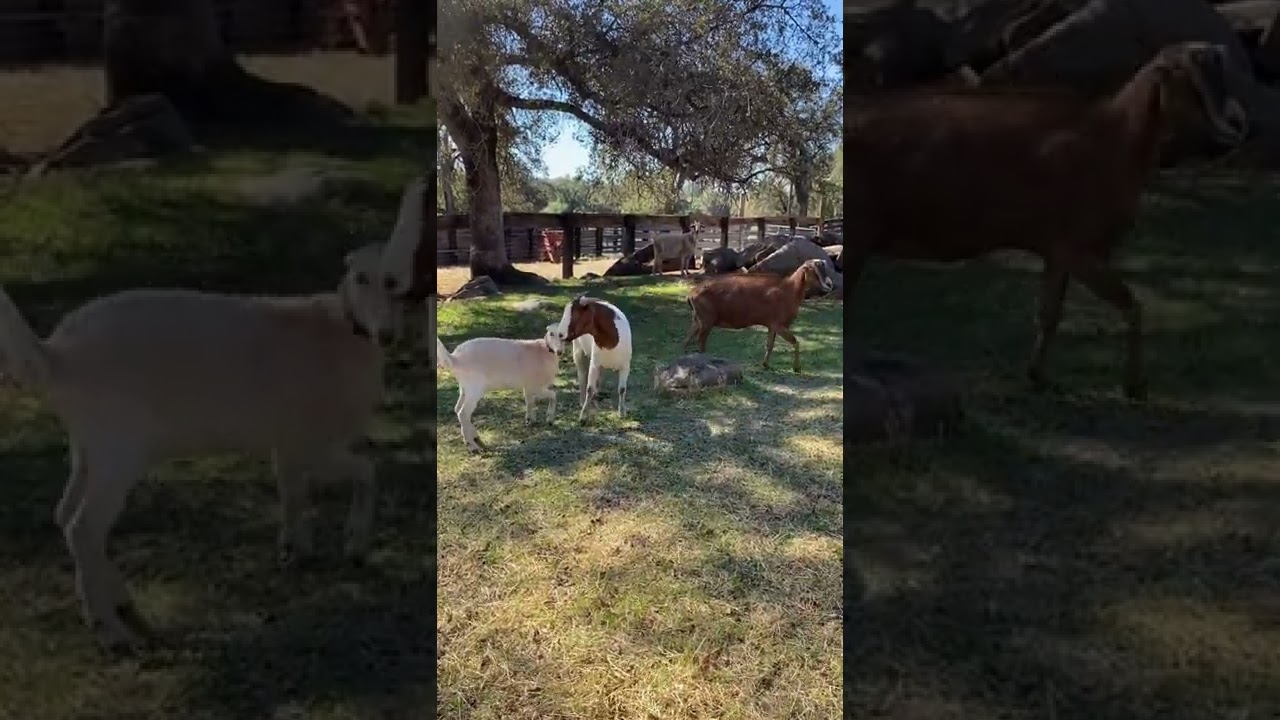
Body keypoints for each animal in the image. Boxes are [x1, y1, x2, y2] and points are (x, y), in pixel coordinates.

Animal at [0, 242, 404, 652]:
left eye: (396, 281)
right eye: (361, 277)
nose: (387, 333)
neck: (339, 334)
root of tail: (55, 355)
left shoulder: (286, 443)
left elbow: (293, 495)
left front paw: (294, 549)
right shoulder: (310, 440)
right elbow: (365, 471)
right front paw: (354, 547)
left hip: (88, 445)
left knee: (65, 515)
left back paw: (129, 614)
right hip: (118, 447)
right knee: (83, 527)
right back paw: (113, 633)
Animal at [435, 324, 564, 452]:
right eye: (551, 333)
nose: (559, 351)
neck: (544, 351)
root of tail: (454, 358)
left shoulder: (528, 387)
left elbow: (529, 403)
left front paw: (530, 420)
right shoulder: (536, 386)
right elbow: (553, 395)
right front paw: (549, 419)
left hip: (464, 388)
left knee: (457, 409)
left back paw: (477, 439)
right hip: (474, 388)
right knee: (463, 413)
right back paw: (473, 446)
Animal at [681, 258, 834, 373]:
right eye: (814, 270)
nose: (829, 285)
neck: (790, 290)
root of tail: (692, 294)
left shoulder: (772, 325)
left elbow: (769, 345)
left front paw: (765, 365)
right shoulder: (779, 325)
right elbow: (796, 342)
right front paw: (797, 368)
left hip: (697, 319)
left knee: (687, 339)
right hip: (707, 321)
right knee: (700, 341)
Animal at [843, 41, 1249, 400]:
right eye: (1192, 79)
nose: (1237, 123)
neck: (1113, 141)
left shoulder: (1056, 250)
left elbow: (1049, 313)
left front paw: (1037, 375)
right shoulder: (1078, 248)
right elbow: (1131, 303)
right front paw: (1135, 386)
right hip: (859, 234)